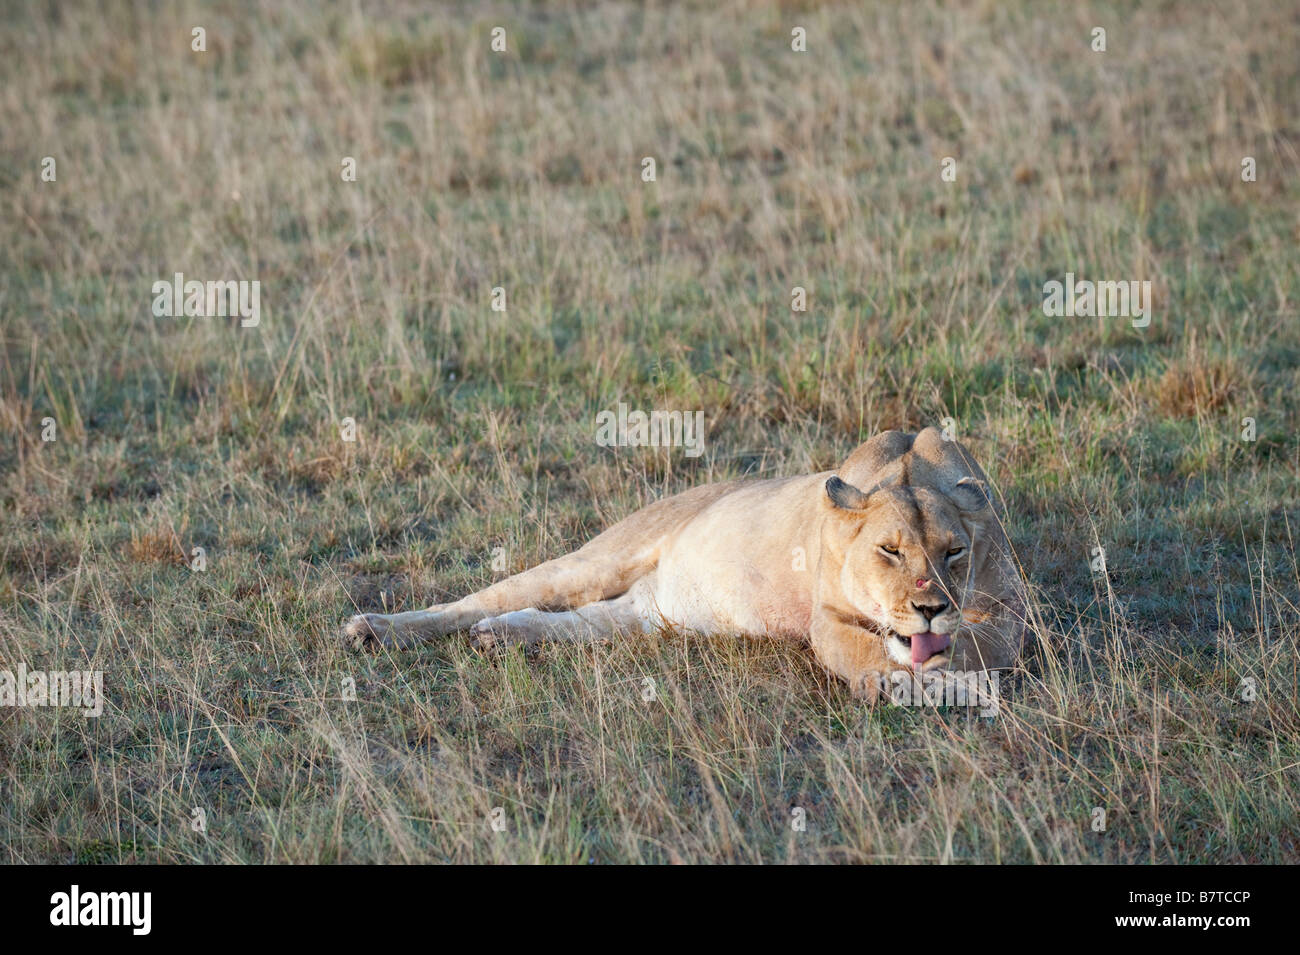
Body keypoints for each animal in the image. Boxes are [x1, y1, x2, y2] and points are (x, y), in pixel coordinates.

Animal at [342, 427, 1028, 697]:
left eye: (954, 552)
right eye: (889, 550)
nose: (931, 608)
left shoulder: (1008, 614)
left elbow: (971, 649)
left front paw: (942, 674)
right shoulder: (826, 621)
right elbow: (871, 656)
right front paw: (915, 683)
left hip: (637, 617)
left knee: (560, 622)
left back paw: (500, 639)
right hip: (595, 561)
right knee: (473, 602)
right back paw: (374, 630)